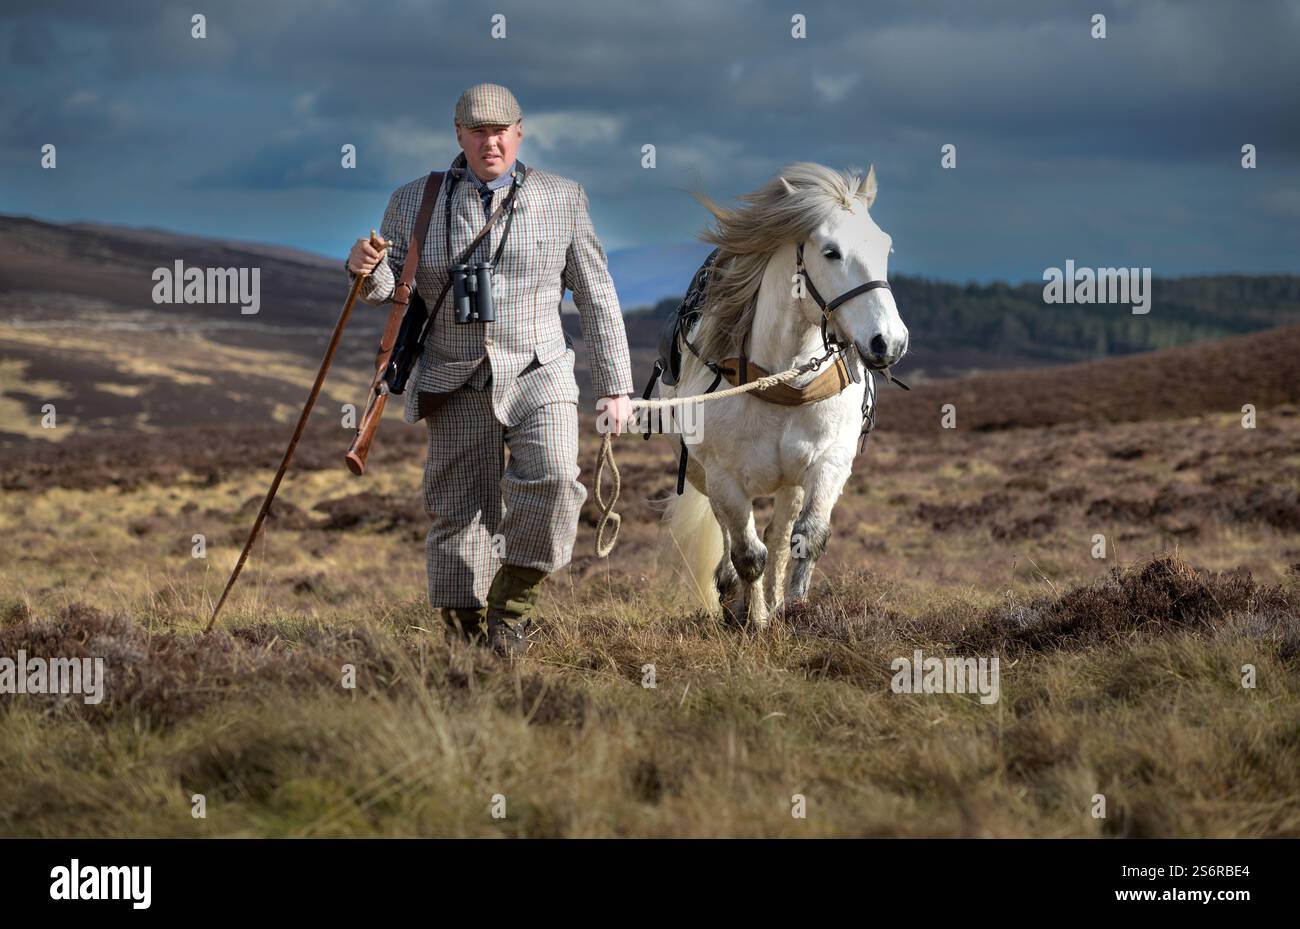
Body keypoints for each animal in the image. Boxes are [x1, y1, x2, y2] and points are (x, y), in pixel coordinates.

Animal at [655, 162, 909, 628]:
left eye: (885, 246)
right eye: (830, 251)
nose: (890, 342)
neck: (783, 380)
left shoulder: (830, 462)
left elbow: (806, 539)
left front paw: (793, 611)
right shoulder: (724, 478)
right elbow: (746, 553)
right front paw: (755, 621)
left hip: (791, 481)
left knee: (780, 536)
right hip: (702, 475)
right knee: (731, 535)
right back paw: (731, 595)